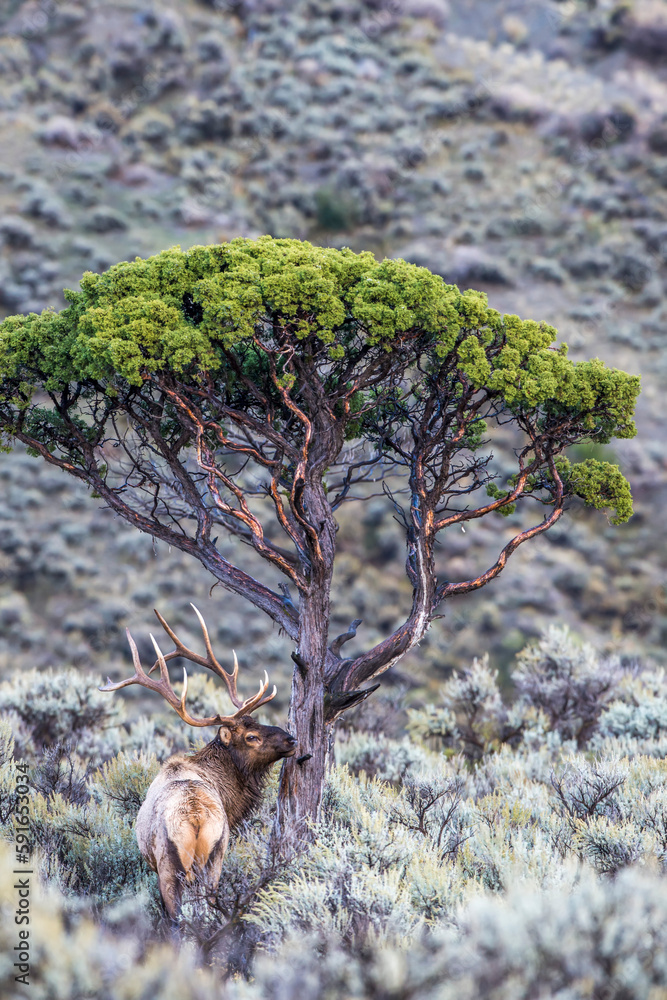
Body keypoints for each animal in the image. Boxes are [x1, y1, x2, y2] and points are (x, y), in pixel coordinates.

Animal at [100, 604, 297, 921]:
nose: (291, 739)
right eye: (252, 736)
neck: (230, 798)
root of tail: (196, 819)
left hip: (179, 867)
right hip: (205, 861)